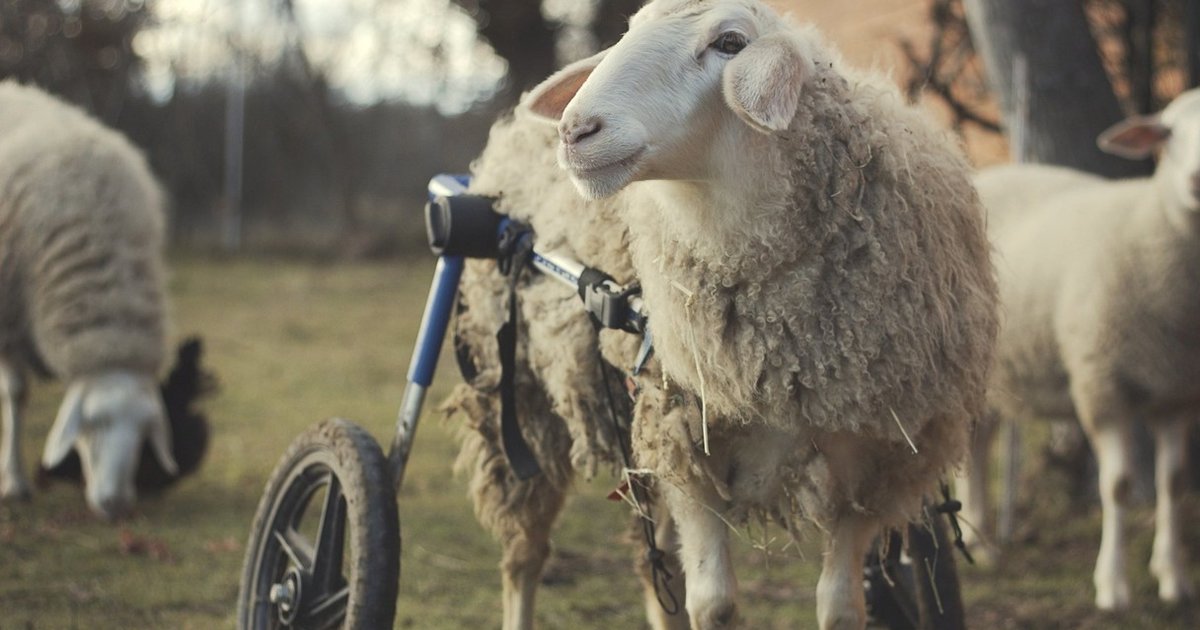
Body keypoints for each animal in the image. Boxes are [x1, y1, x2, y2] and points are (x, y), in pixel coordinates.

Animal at [0, 80, 178, 520]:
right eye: (93, 423)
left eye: (145, 430)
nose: (116, 505)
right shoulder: (7, 317)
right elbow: (16, 393)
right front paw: (15, 482)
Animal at [524, 0, 999, 627]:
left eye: (730, 42)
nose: (575, 131)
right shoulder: (684, 438)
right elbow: (714, 604)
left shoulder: (875, 464)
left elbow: (841, 607)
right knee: (527, 554)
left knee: (652, 562)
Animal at [957, 88, 1200, 610]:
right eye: (1168, 134)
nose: (1195, 180)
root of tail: (989, 172)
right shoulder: (1101, 383)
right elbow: (1120, 486)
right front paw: (1112, 587)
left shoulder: (1177, 394)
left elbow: (1173, 484)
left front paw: (1173, 578)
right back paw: (974, 539)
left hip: (996, 378)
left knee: (981, 445)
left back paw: (982, 541)